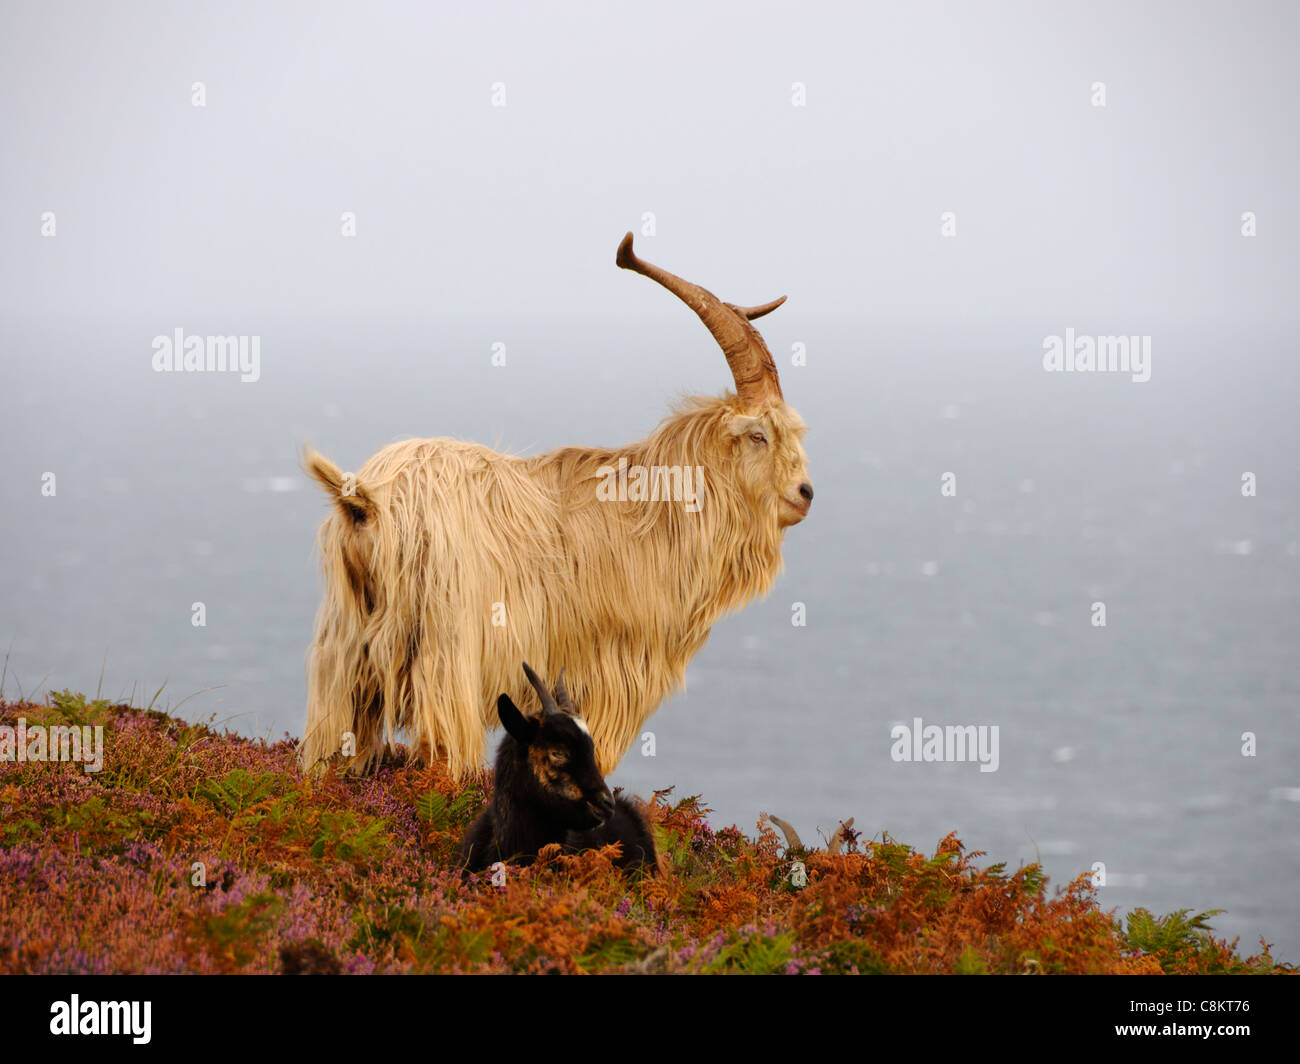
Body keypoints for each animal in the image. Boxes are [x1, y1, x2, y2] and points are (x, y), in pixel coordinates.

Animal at [301, 233, 812, 778]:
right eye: (759, 435)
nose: (805, 493)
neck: (654, 513)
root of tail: (365, 501)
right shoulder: (604, 676)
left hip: (342, 657)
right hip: (443, 658)